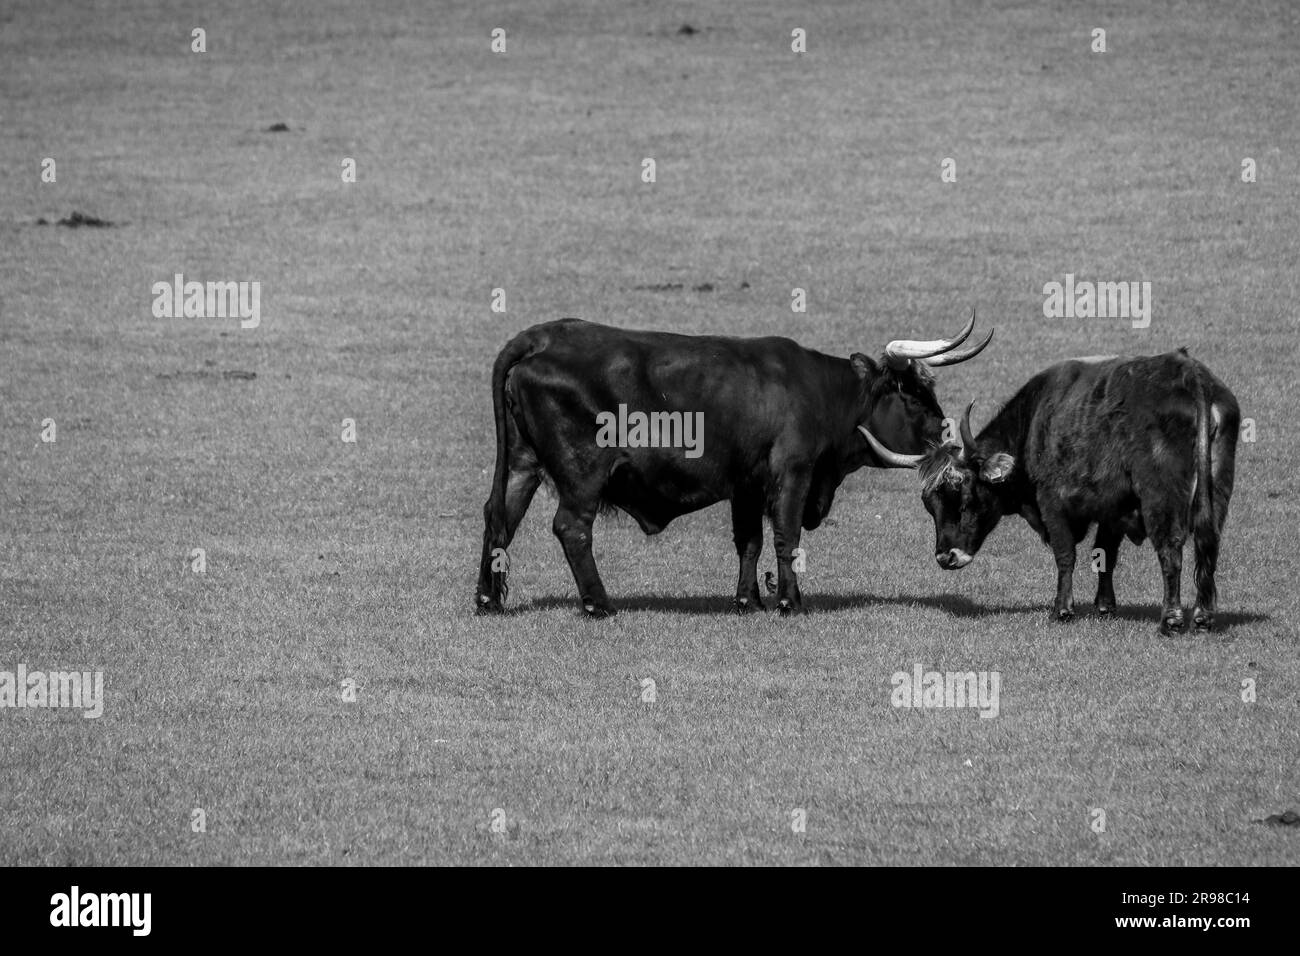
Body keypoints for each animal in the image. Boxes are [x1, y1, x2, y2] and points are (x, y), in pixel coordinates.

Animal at [476, 313, 993, 617]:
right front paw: (790, 602)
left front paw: (748, 599)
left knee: (499, 518)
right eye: (913, 394)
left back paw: (487, 599)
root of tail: (542, 335)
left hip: (522, 464)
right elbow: (786, 537)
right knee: (571, 528)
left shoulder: (746, 484)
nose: (948, 434)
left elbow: (749, 540)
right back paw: (599, 604)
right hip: (582, 472)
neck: (819, 391)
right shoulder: (792, 473)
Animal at [857, 350, 1239, 634]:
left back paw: (1171, 619)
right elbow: (1105, 554)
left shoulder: (1053, 503)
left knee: (1171, 550)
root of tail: (1189, 374)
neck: (1035, 421)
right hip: (1217, 491)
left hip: (1161, 497)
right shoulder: (1112, 508)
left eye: (965, 497)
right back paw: (1203, 616)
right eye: (930, 506)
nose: (946, 557)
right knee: (1208, 544)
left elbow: (1066, 555)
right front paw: (1105, 606)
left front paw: (1061, 609)